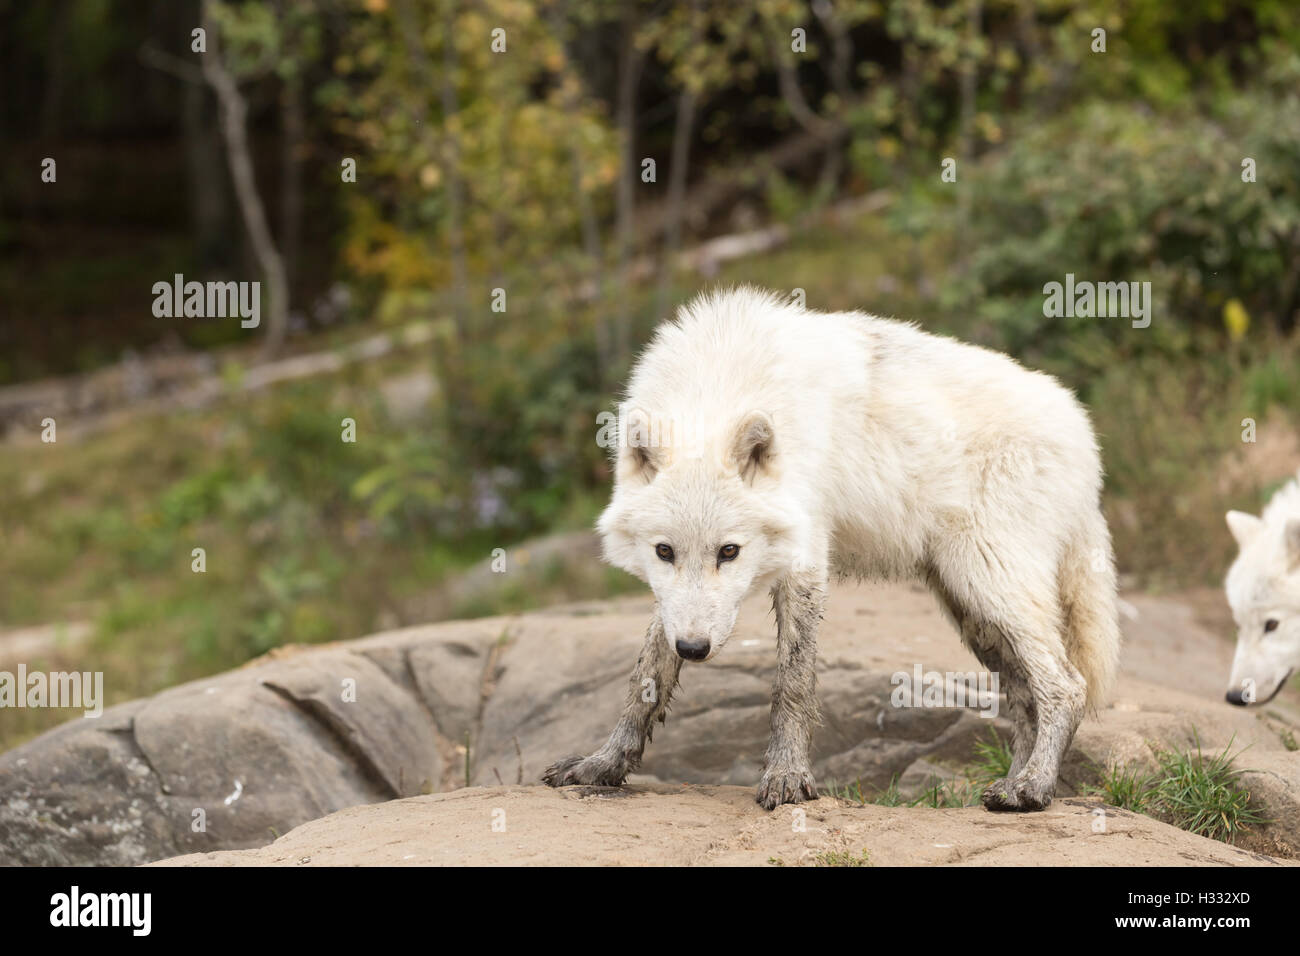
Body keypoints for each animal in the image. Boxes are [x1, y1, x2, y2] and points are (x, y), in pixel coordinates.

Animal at [543, 287, 1120, 811]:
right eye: (664, 552)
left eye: (729, 552)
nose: (695, 649)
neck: (720, 384)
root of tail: (1085, 435)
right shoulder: (674, 605)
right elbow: (645, 677)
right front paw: (603, 765)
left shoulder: (805, 561)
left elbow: (792, 683)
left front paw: (787, 776)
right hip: (971, 608)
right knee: (1024, 698)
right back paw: (1013, 782)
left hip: (989, 583)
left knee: (1065, 685)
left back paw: (1033, 788)